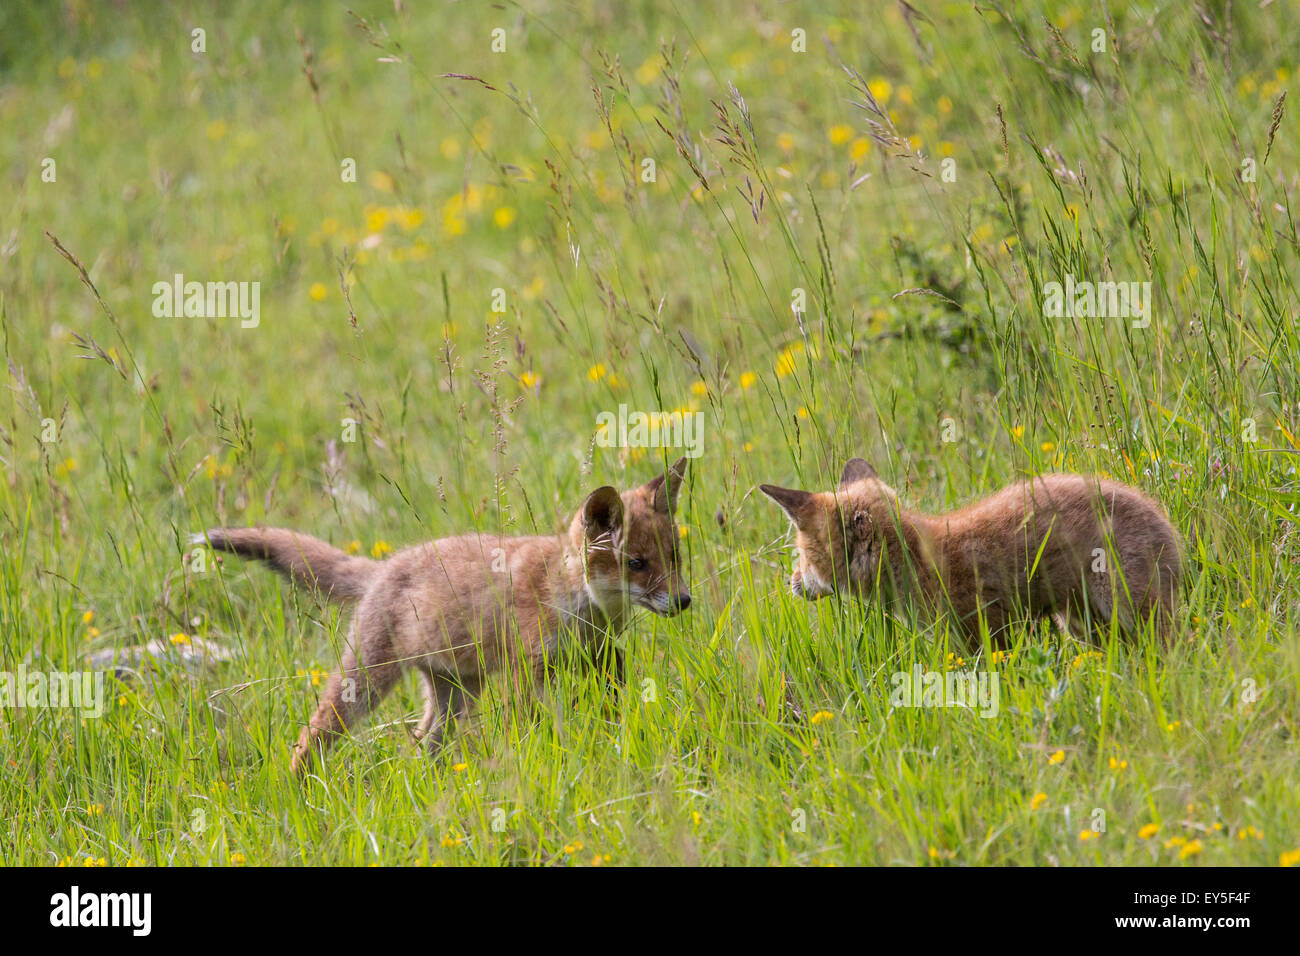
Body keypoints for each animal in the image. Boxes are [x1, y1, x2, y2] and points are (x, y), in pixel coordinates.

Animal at [199, 457, 691, 775]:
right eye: (636, 564)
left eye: (674, 557)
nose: (684, 601)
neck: (572, 598)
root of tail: (384, 566)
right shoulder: (527, 668)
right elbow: (532, 727)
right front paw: (541, 761)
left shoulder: (600, 656)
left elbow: (610, 702)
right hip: (366, 683)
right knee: (311, 736)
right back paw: (295, 787)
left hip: (455, 696)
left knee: (417, 746)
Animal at [760, 459, 1181, 645]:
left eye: (801, 555)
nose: (791, 583)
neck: (914, 562)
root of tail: (1162, 516)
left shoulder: (985, 638)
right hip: (1081, 624)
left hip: (1130, 611)